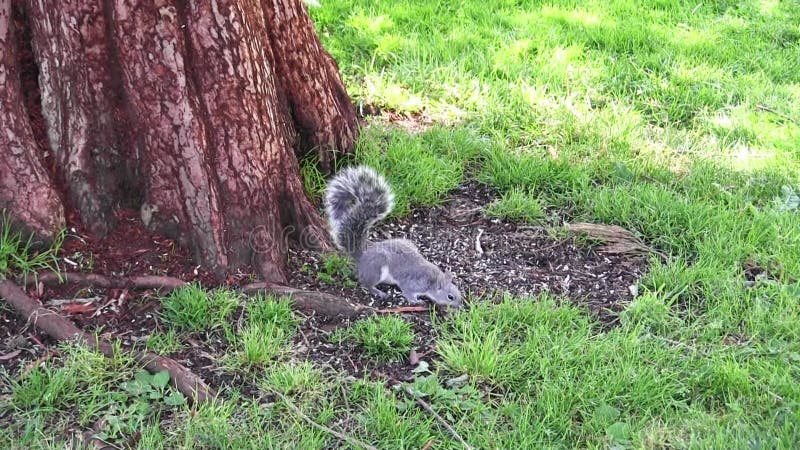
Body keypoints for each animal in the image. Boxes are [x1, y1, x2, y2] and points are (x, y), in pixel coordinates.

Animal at [324, 165, 462, 307]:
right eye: (450, 297)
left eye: (458, 291)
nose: (460, 306)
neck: (432, 282)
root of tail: (362, 256)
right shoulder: (412, 283)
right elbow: (407, 292)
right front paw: (416, 301)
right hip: (376, 267)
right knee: (366, 283)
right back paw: (378, 291)